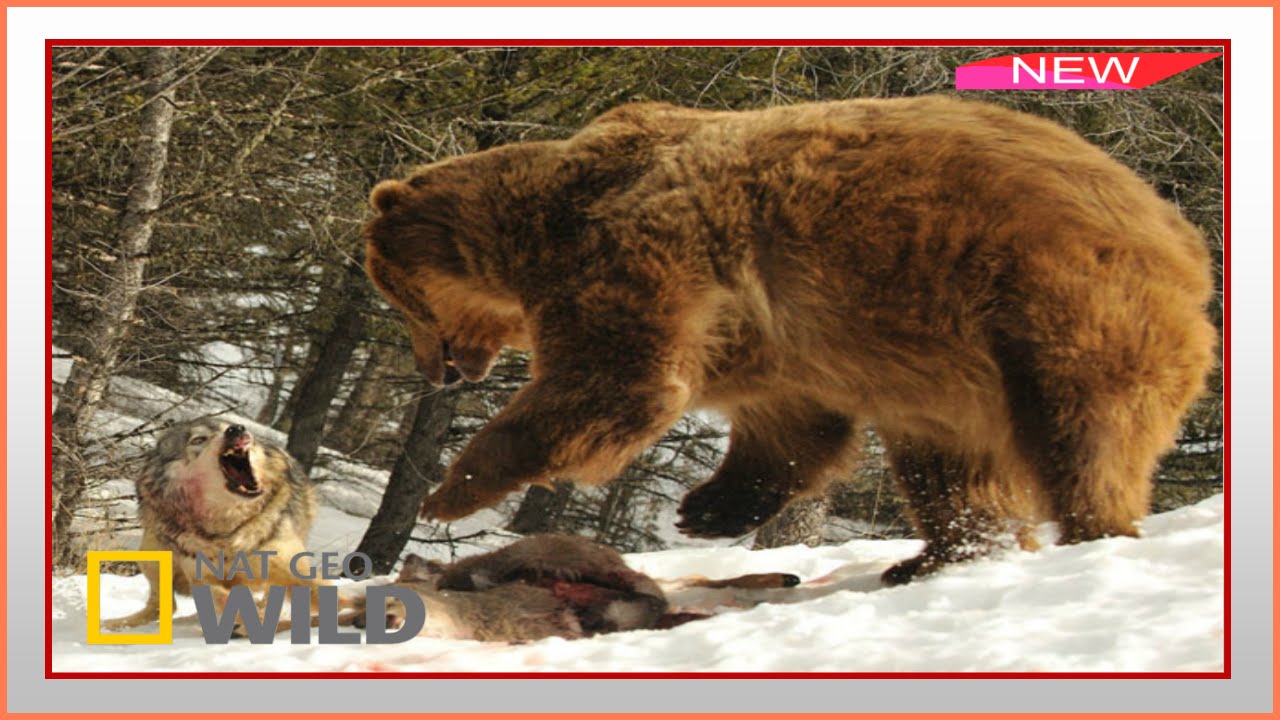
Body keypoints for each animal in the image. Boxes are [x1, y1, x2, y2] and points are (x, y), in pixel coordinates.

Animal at [362, 96, 1217, 585]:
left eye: (397, 297)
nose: (437, 372)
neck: (535, 227)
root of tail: (1185, 242)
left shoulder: (632, 256)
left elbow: (615, 382)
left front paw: (449, 490)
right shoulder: (777, 338)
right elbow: (792, 424)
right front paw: (709, 509)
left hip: (1053, 303)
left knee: (1082, 433)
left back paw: (1090, 533)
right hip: (949, 371)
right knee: (951, 468)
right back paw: (934, 556)